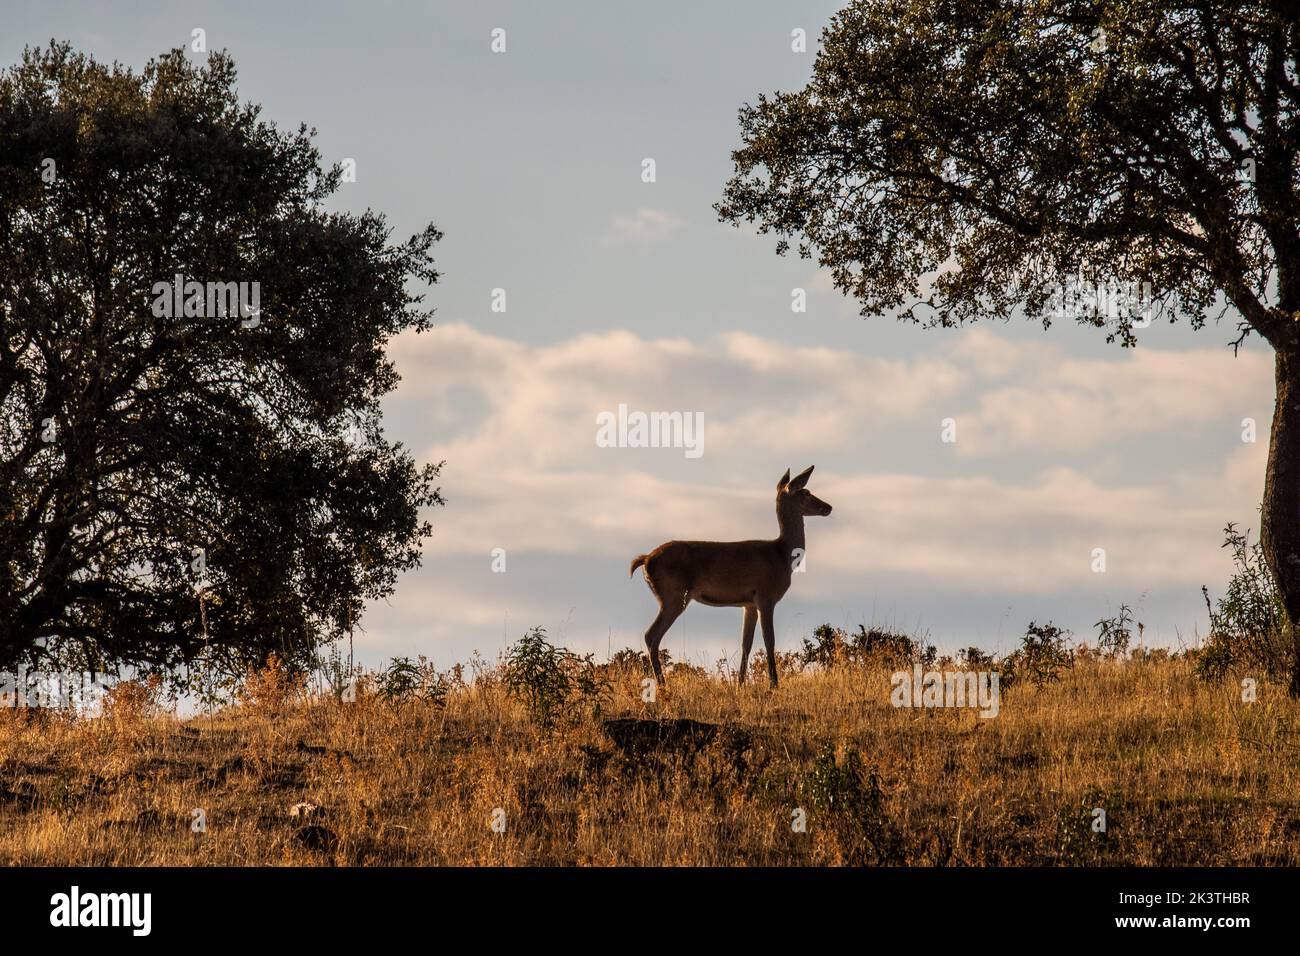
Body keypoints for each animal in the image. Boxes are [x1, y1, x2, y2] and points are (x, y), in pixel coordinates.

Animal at [629, 466, 832, 688]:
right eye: (806, 492)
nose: (828, 507)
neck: (782, 555)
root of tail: (646, 560)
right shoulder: (766, 596)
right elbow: (769, 640)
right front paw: (774, 684)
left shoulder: (748, 603)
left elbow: (746, 643)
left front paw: (740, 684)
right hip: (673, 595)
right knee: (651, 635)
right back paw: (663, 685)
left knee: (652, 636)